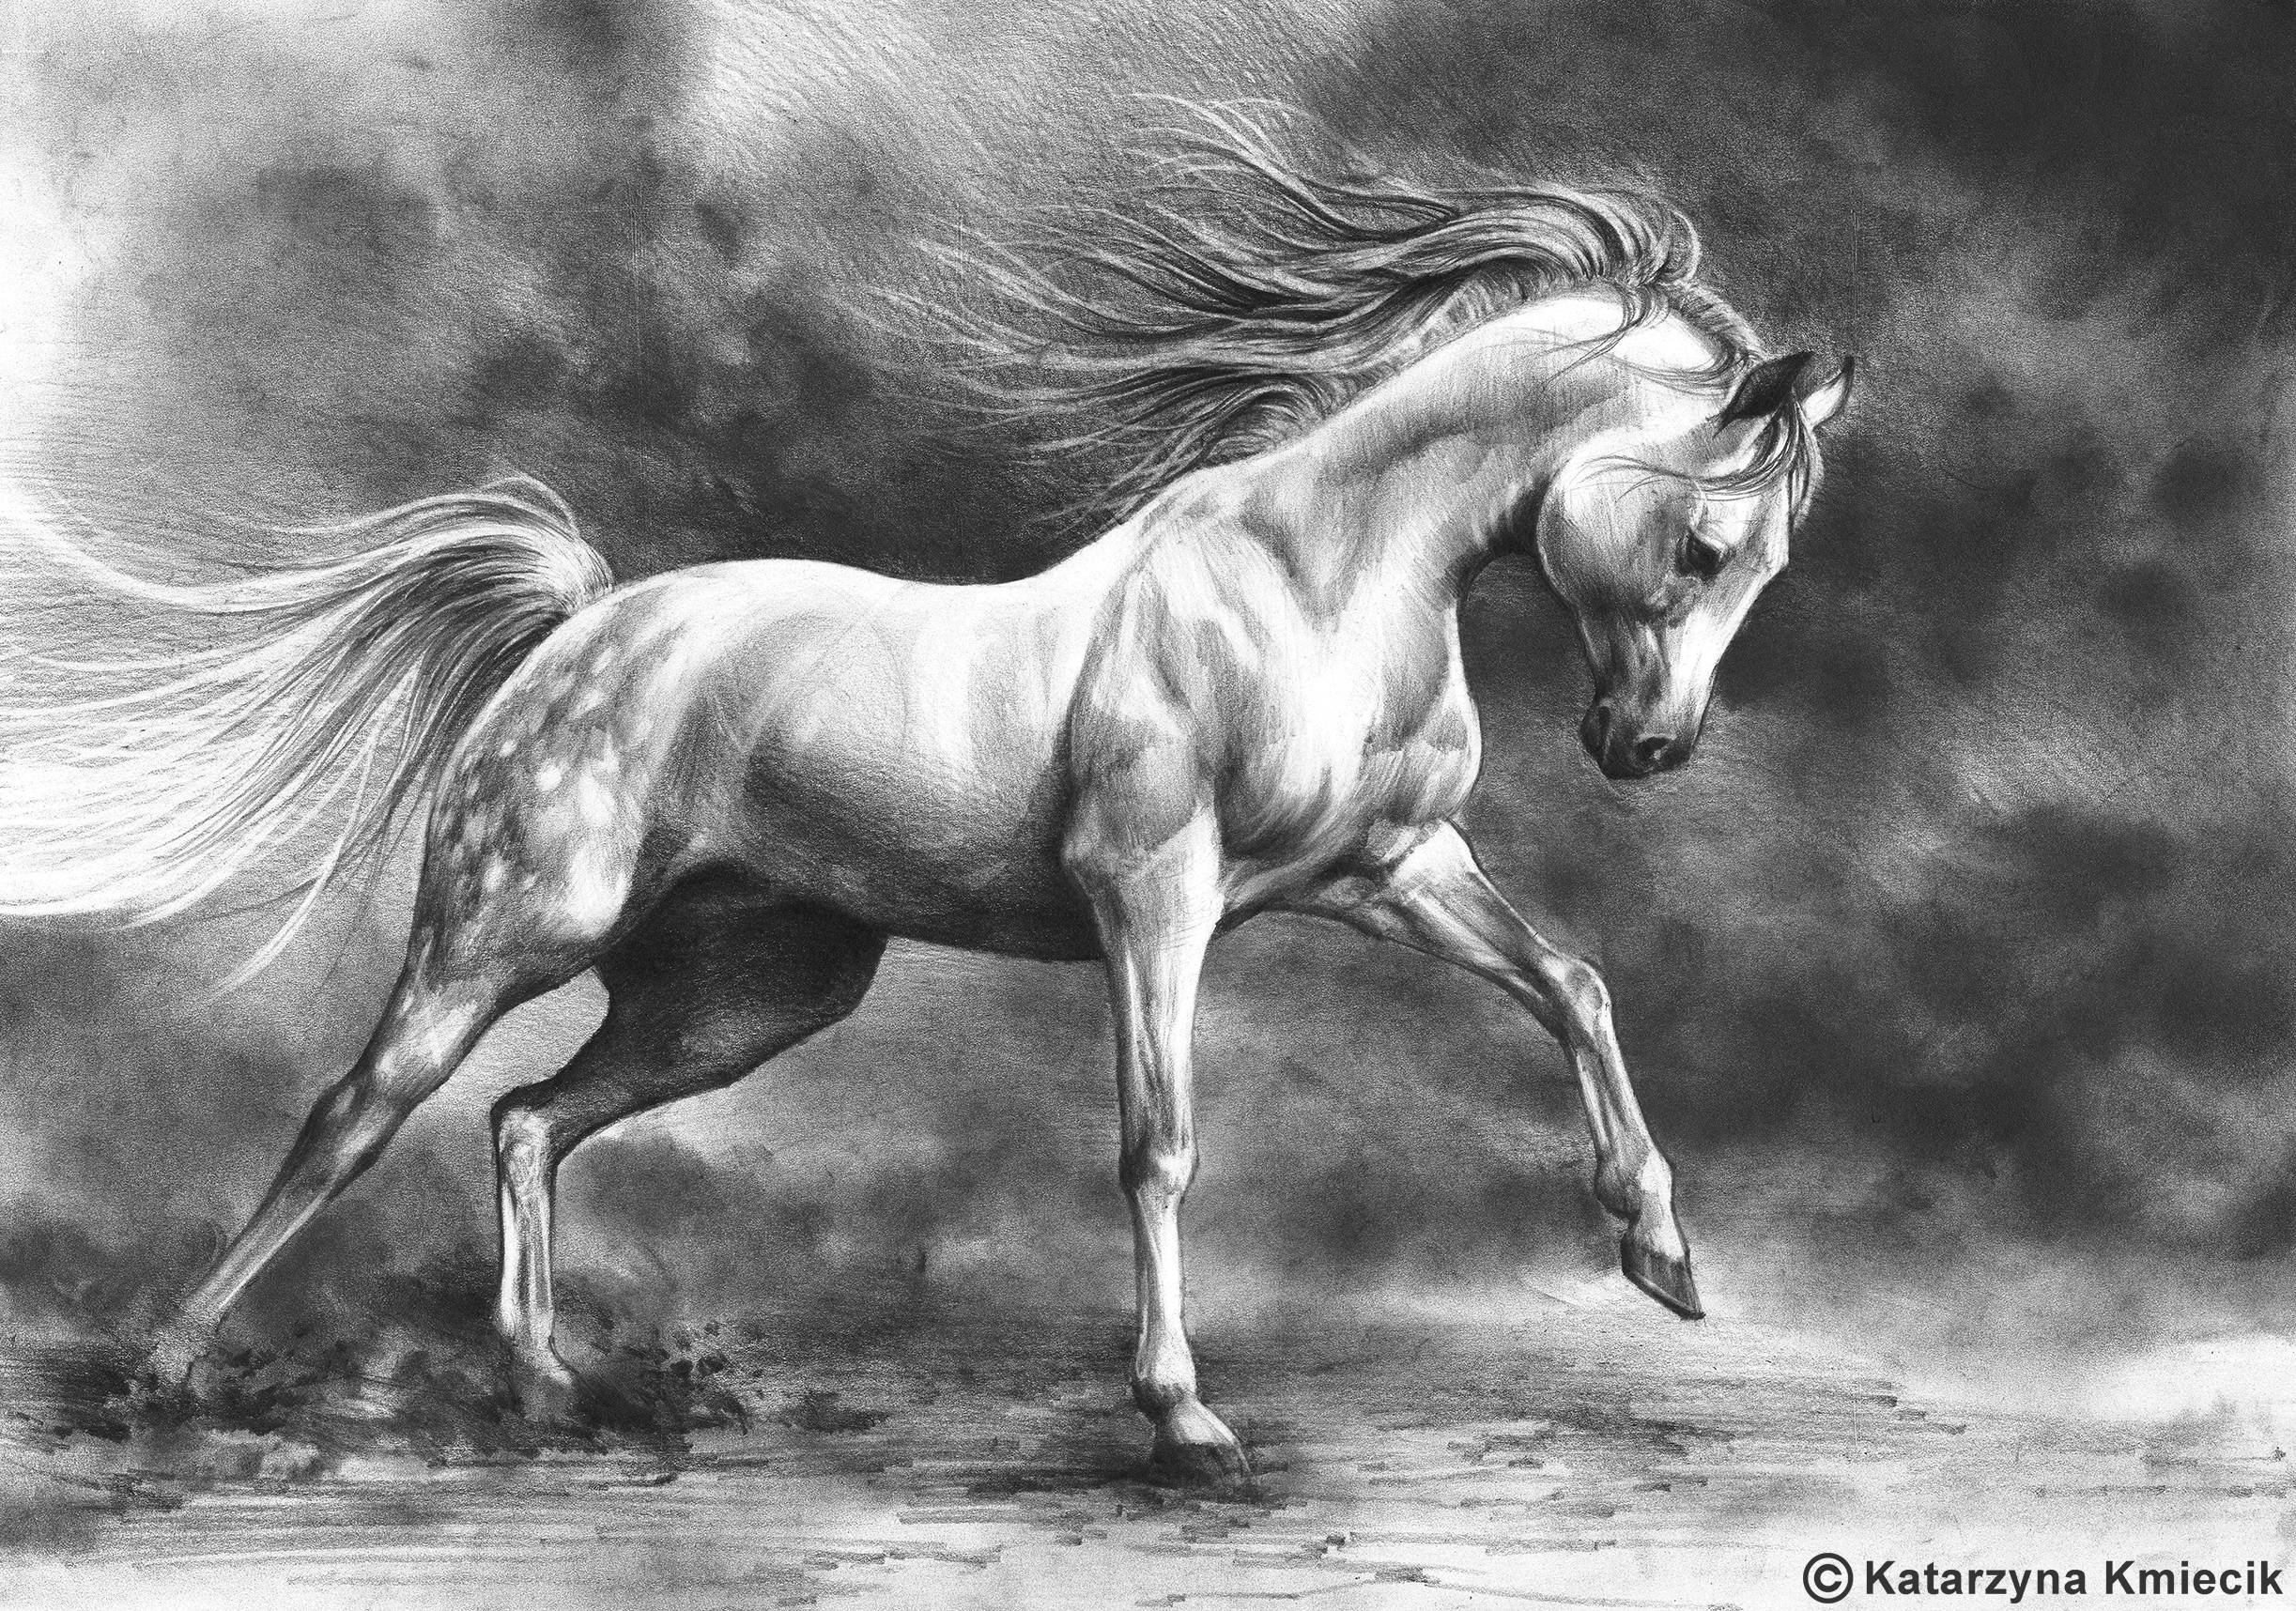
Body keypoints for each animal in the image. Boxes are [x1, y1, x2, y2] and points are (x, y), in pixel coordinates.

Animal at [0, 127, 1851, 1483]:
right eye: (1705, 543)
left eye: (1769, 562)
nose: (1645, 748)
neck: (1313, 583)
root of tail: (587, 623)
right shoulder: (1154, 899)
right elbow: (1160, 1144)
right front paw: (1183, 1417)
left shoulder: (1390, 869)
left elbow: (1575, 986)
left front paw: (1663, 1257)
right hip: (506, 928)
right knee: (353, 1115)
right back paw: (168, 1369)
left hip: (749, 996)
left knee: (526, 1120)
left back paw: (540, 1383)